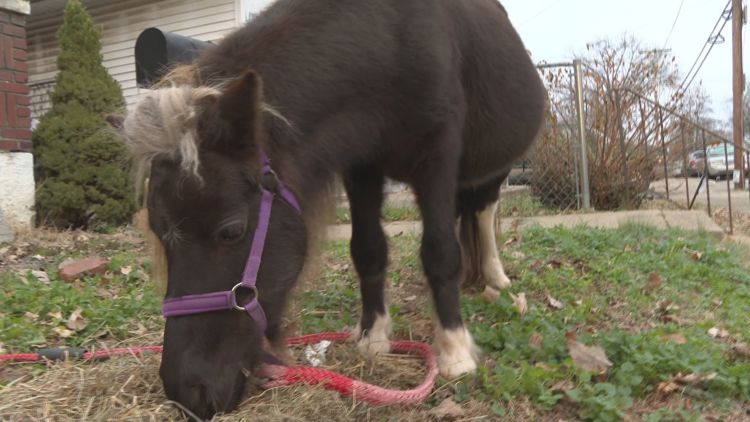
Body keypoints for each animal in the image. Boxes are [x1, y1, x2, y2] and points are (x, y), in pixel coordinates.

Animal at [110, 0, 545, 417]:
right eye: (158, 232)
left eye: (230, 230)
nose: (188, 391)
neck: (391, 40)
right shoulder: (363, 166)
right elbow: (368, 250)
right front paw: (373, 336)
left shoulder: (436, 157)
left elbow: (439, 253)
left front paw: (455, 350)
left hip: (492, 169)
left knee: (483, 213)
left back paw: (495, 278)